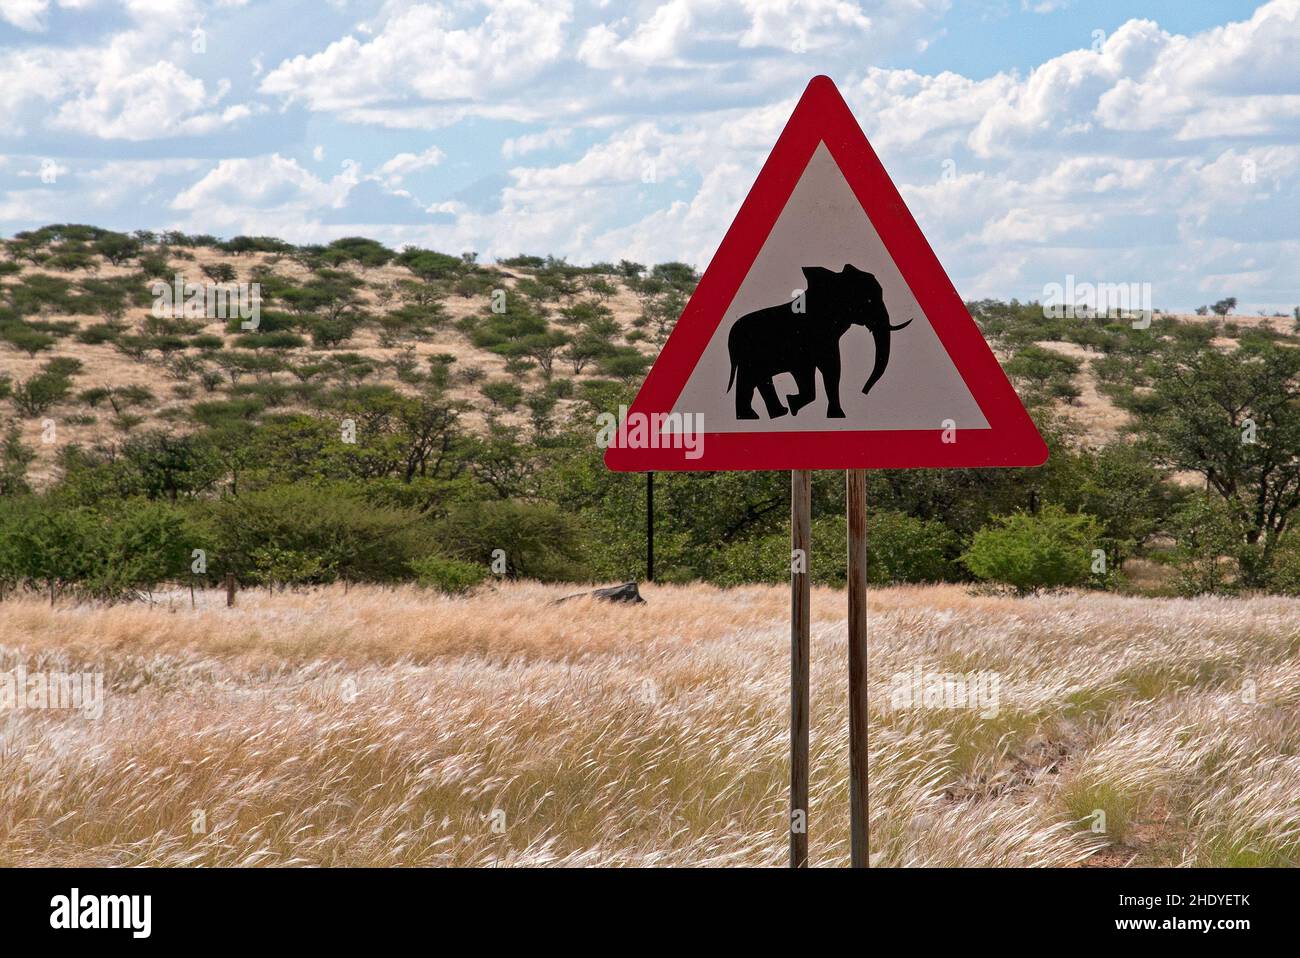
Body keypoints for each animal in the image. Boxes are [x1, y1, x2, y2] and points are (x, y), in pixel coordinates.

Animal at [725, 264, 912, 420]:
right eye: (869, 300)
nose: (864, 391)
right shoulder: (804, 343)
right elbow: (811, 372)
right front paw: (793, 404)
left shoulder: (827, 341)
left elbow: (832, 370)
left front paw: (835, 416)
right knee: (751, 379)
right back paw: (761, 415)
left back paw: (768, 415)